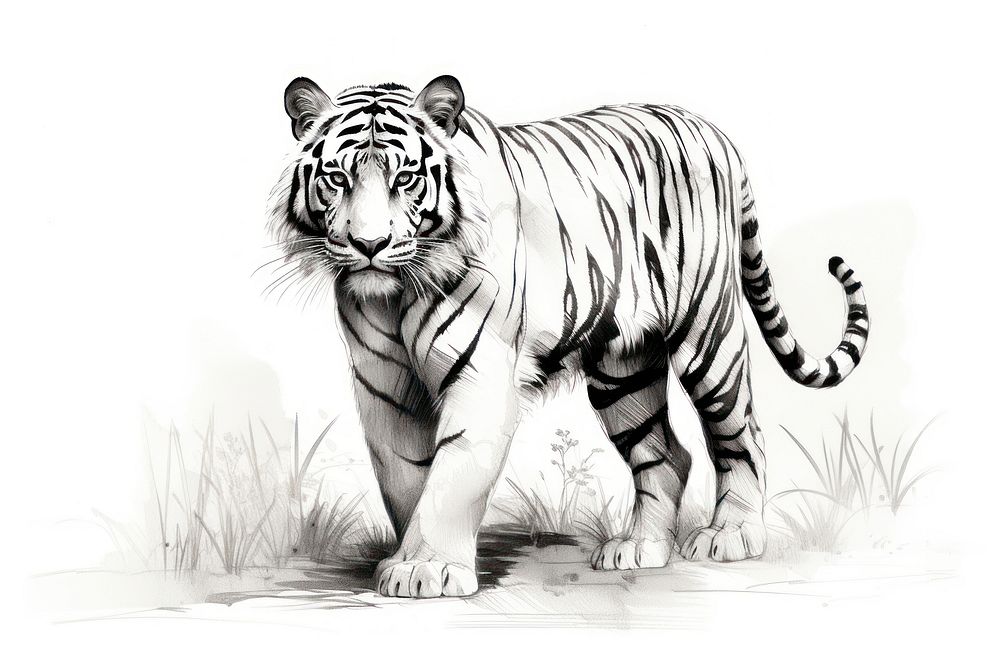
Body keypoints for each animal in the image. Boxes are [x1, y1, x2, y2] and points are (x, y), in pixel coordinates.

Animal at [266, 74, 870, 598]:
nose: (369, 245)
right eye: (337, 178)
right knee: (666, 456)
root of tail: (710, 130)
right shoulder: (383, 384)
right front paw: (410, 559)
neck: (394, 294)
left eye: (406, 178)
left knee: (742, 435)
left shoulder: (482, 375)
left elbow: (451, 477)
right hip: (623, 368)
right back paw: (639, 548)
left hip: (708, 333)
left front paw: (427, 570)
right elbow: (403, 476)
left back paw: (731, 535)